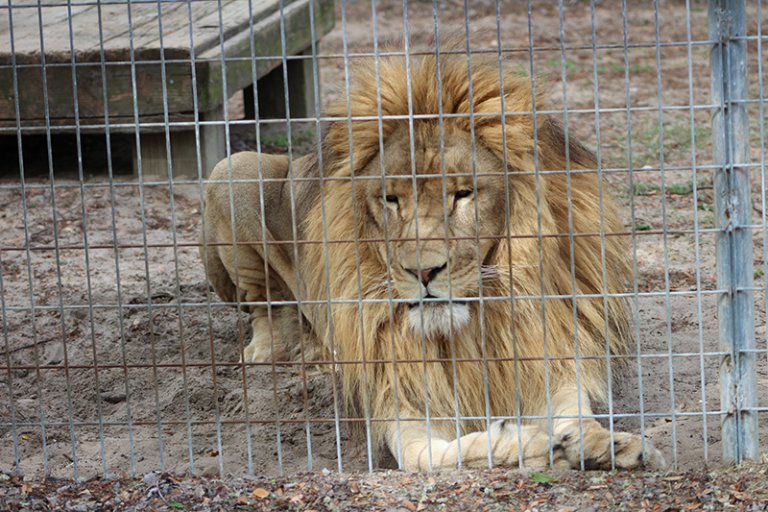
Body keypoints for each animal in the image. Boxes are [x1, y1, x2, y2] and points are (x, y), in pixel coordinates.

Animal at [200, 50, 665, 471]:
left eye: (462, 194)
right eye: (391, 199)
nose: (423, 272)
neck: (466, 333)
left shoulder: (547, 358)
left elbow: (576, 413)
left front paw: (606, 443)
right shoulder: (399, 401)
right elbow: (437, 456)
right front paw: (527, 442)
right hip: (233, 170)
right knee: (265, 308)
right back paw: (287, 350)